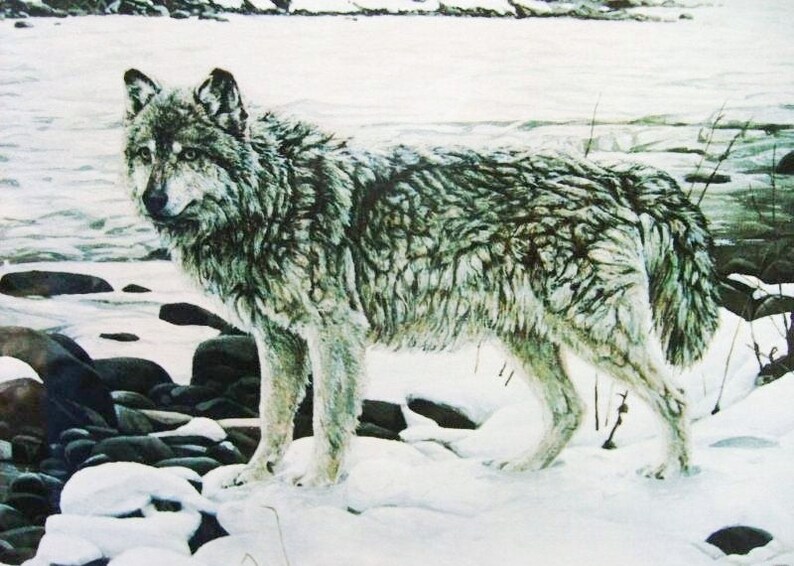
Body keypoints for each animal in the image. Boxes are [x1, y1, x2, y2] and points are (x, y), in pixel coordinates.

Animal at [123, 68, 720, 486]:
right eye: (146, 154)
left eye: (190, 154)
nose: (152, 200)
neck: (275, 195)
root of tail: (614, 174)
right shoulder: (277, 339)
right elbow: (272, 418)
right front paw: (253, 479)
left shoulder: (336, 333)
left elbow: (330, 421)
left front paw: (315, 487)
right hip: (527, 337)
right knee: (570, 410)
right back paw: (525, 469)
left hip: (593, 333)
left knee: (673, 396)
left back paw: (673, 473)